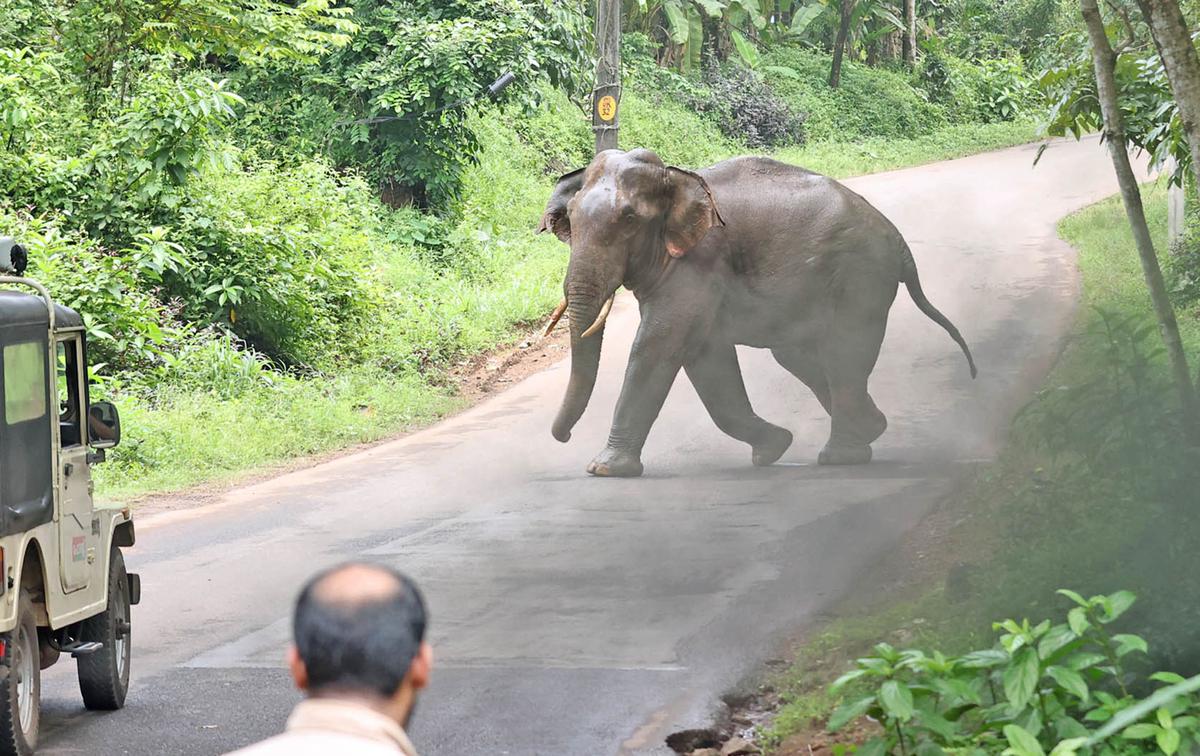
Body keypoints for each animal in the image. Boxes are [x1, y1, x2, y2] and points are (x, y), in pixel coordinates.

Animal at [538, 148, 976, 478]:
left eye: (629, 219)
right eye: (570, 219)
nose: (563, 438)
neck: (675, 178)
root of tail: (899, 242)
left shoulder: (699, 265)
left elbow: (657, 346)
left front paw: (603, 469)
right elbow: (705, 359)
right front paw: (773, 449)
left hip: (861, 277)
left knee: (843, 354)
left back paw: (841, 456)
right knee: (800, 357)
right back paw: (871, 430)